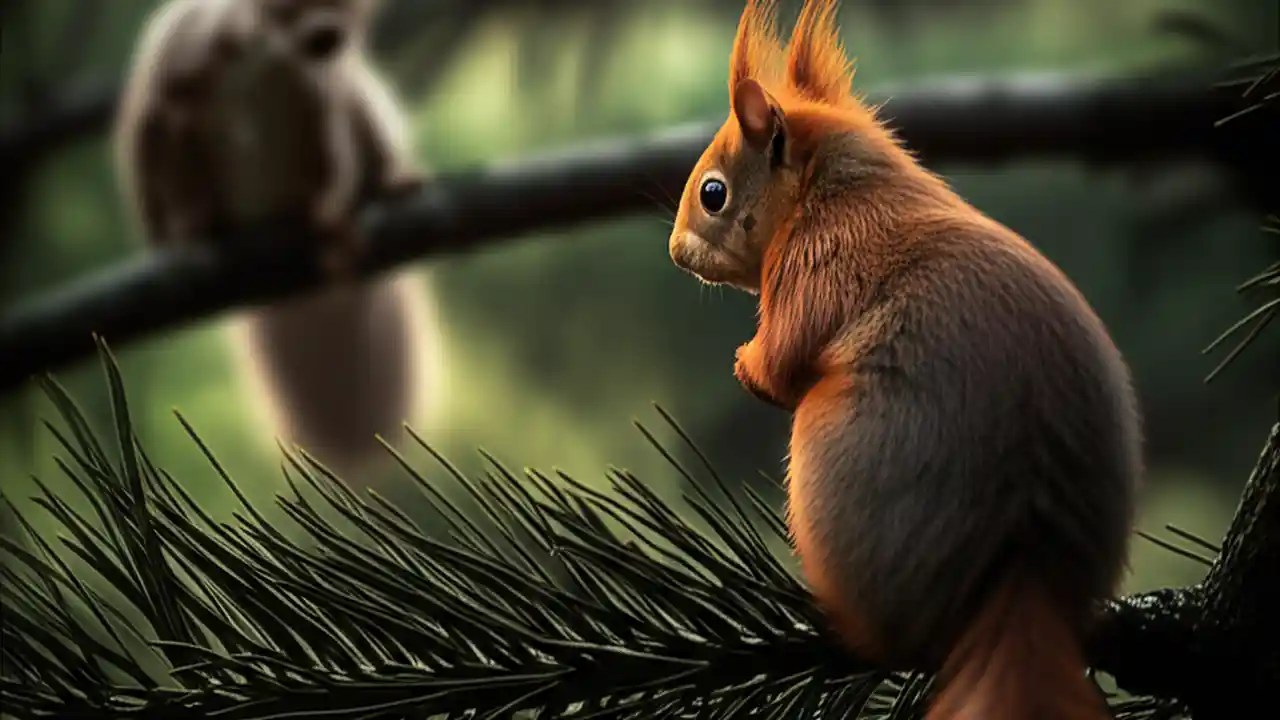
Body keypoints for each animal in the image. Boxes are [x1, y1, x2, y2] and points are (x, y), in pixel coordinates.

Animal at [114, 0, 436, 479]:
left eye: (358, 7)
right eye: (287, 6)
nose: (329, 35)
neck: (267, 56)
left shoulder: (319, 93)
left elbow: (333, 149)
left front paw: (334, 222)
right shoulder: (184, 65)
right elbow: (161, 134)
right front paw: (187, 233)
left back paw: (385, 187)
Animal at [668, 2, 1143, 718]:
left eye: (713, 193)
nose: (674, 251)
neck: (834, 189)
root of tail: (1022, 563)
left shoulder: (813, 265)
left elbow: (782, 366)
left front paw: (747, 363)